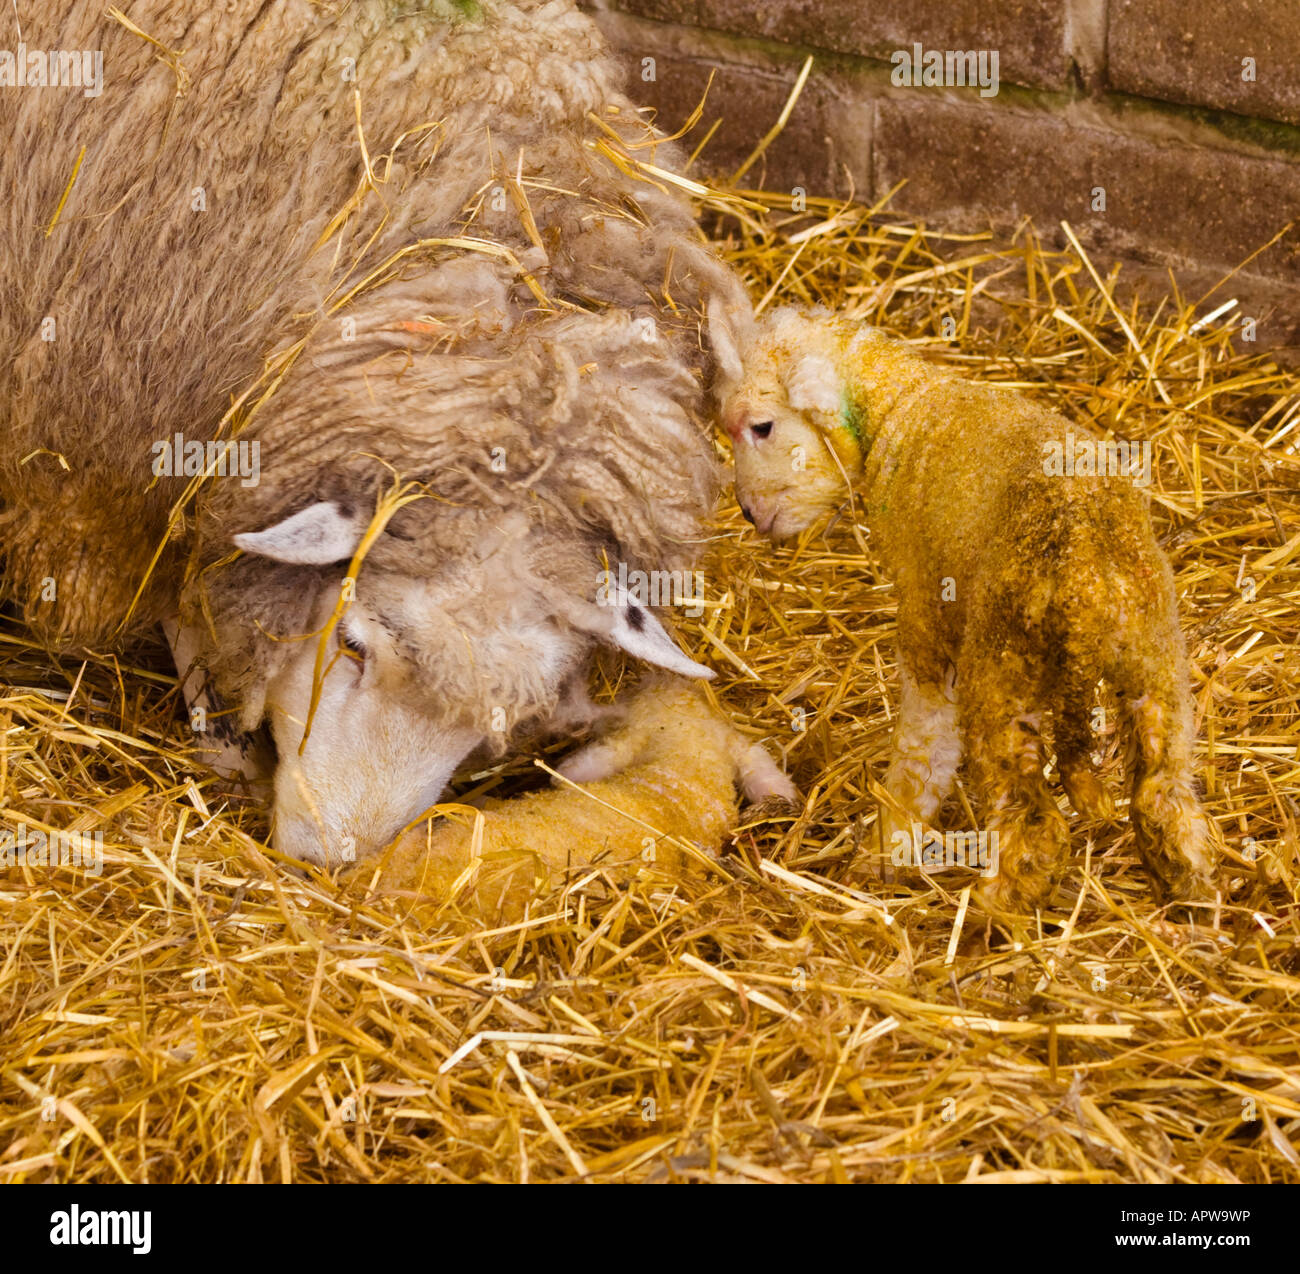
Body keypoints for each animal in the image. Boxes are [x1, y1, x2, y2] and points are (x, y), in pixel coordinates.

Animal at [709, 304, 1217, 913]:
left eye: (761, 426)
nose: (746, 511)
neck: (902, 407)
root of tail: (1083, 581)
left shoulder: (926, 613)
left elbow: (925, 742)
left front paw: (887, 846)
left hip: (1004, 668)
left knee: (1034, 820)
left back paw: (993, 912)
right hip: (1153, 662)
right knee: (1164, 791)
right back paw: (1190, 889)